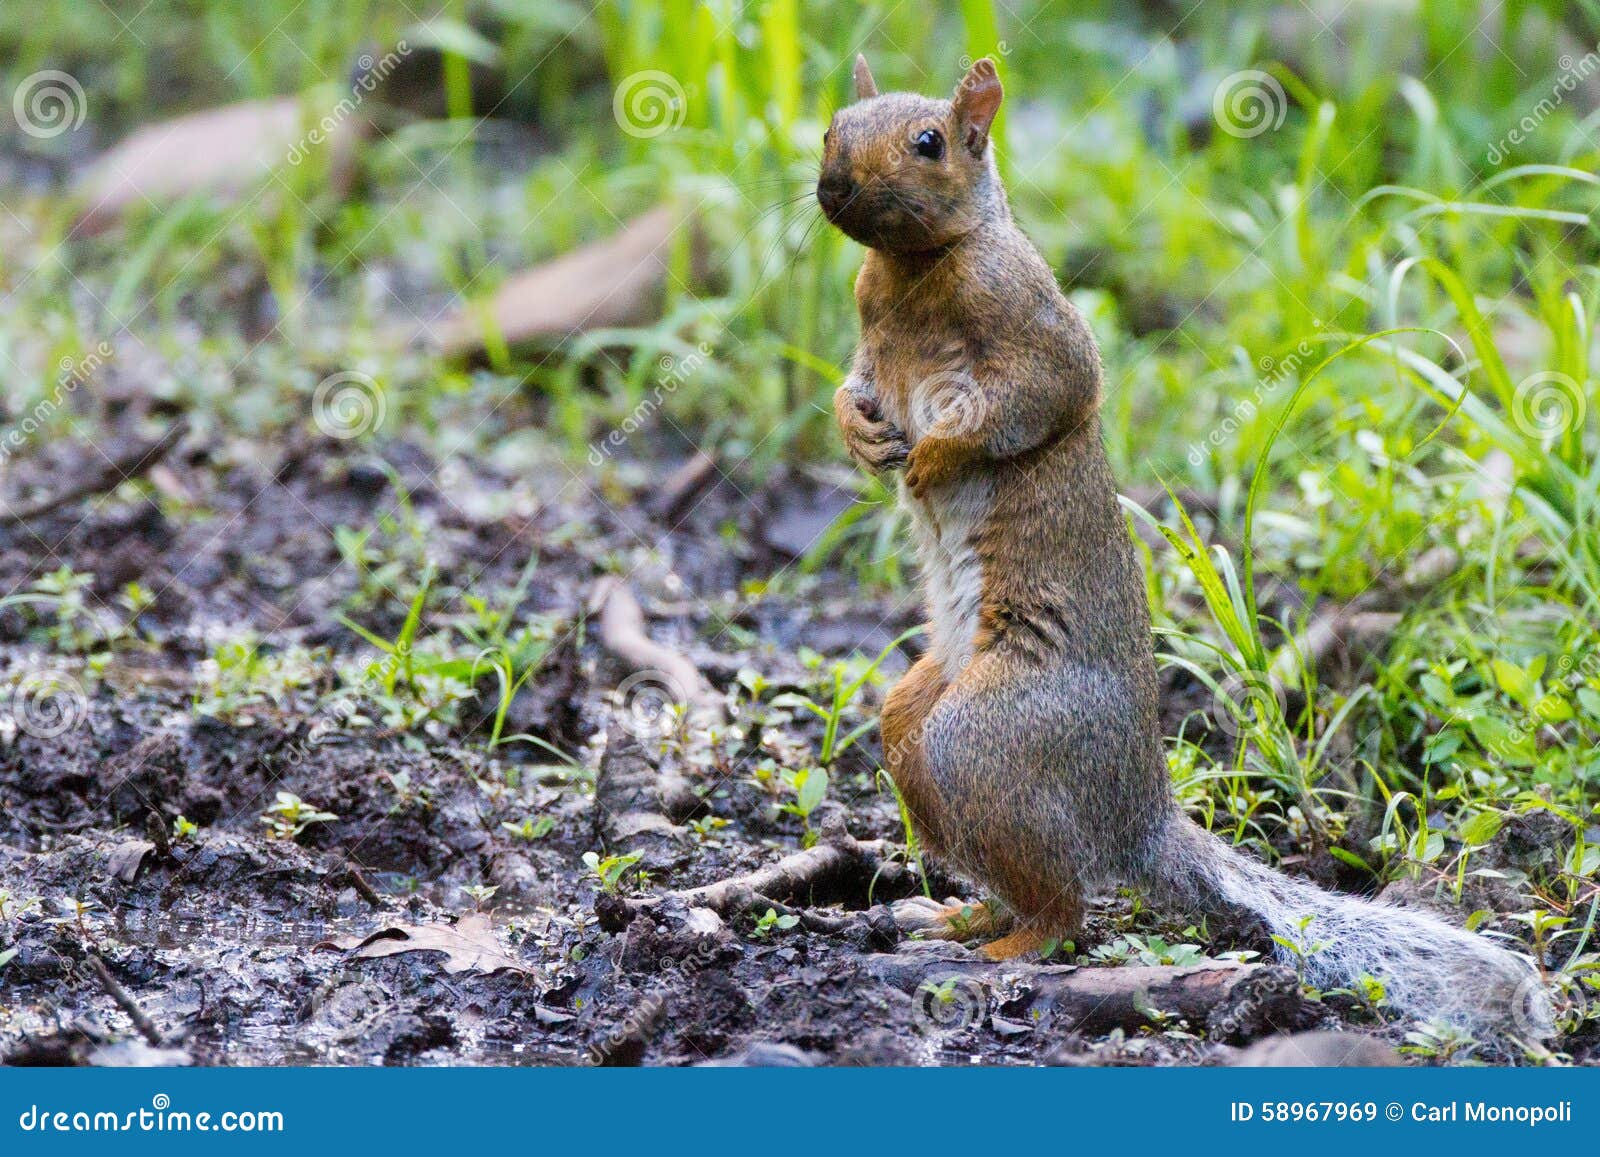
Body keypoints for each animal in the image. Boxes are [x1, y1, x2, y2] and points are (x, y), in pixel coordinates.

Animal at [818, 54, 1548, 1041]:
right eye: (831, 126)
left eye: (929, 143)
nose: (835, 186)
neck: (909, 269)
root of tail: (1140, 814)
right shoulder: (871, 337)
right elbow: (852, 390)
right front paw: (860, 434)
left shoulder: (1033, 326)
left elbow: (1041, 398)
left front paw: (931, 458)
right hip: (920, 721)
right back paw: (966, 916)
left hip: (986, 735)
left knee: (1065, 905)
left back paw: (1008, 946)